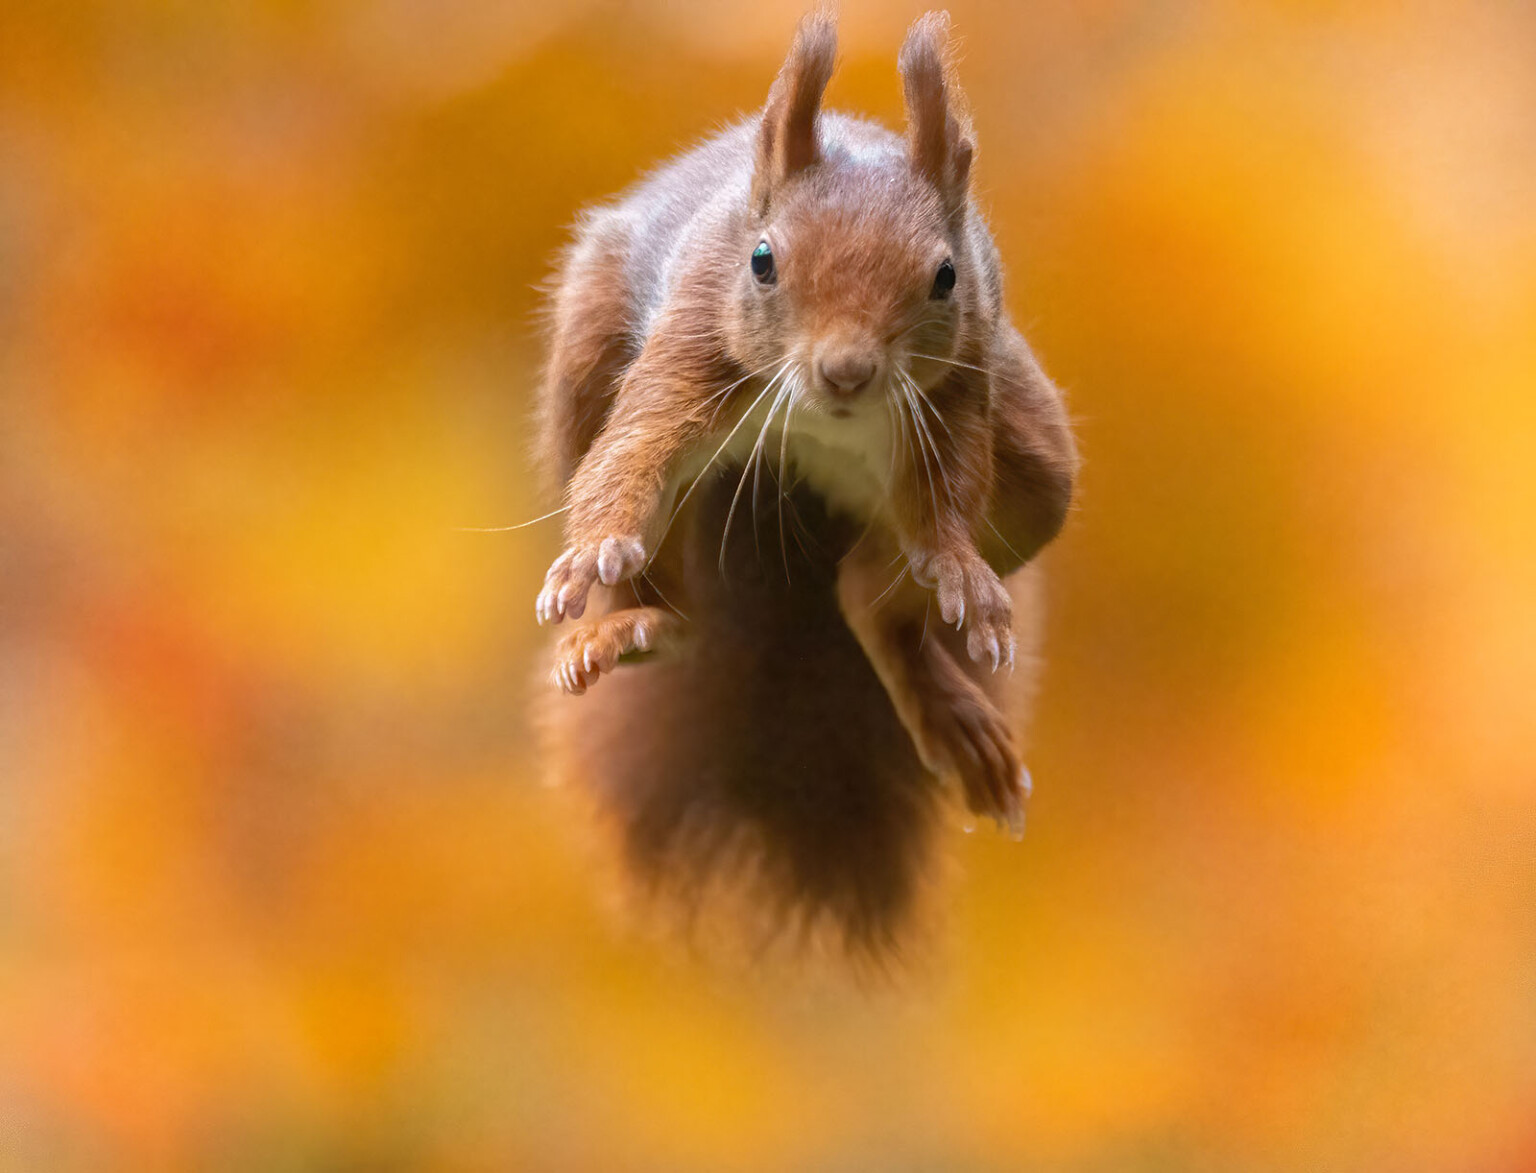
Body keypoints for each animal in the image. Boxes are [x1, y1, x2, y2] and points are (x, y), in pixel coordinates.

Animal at [532, 11, 1077, 961]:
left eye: (945, 276)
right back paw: (633, 619)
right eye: (762, 261)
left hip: (1038, 468)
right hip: (591, 335)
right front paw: (595, 544)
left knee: (868, 587)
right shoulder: (692, 334)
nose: (846, 372)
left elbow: (950, 494)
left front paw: (957, 565)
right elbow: (632, 447)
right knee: (664, 585)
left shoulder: (963, 379)